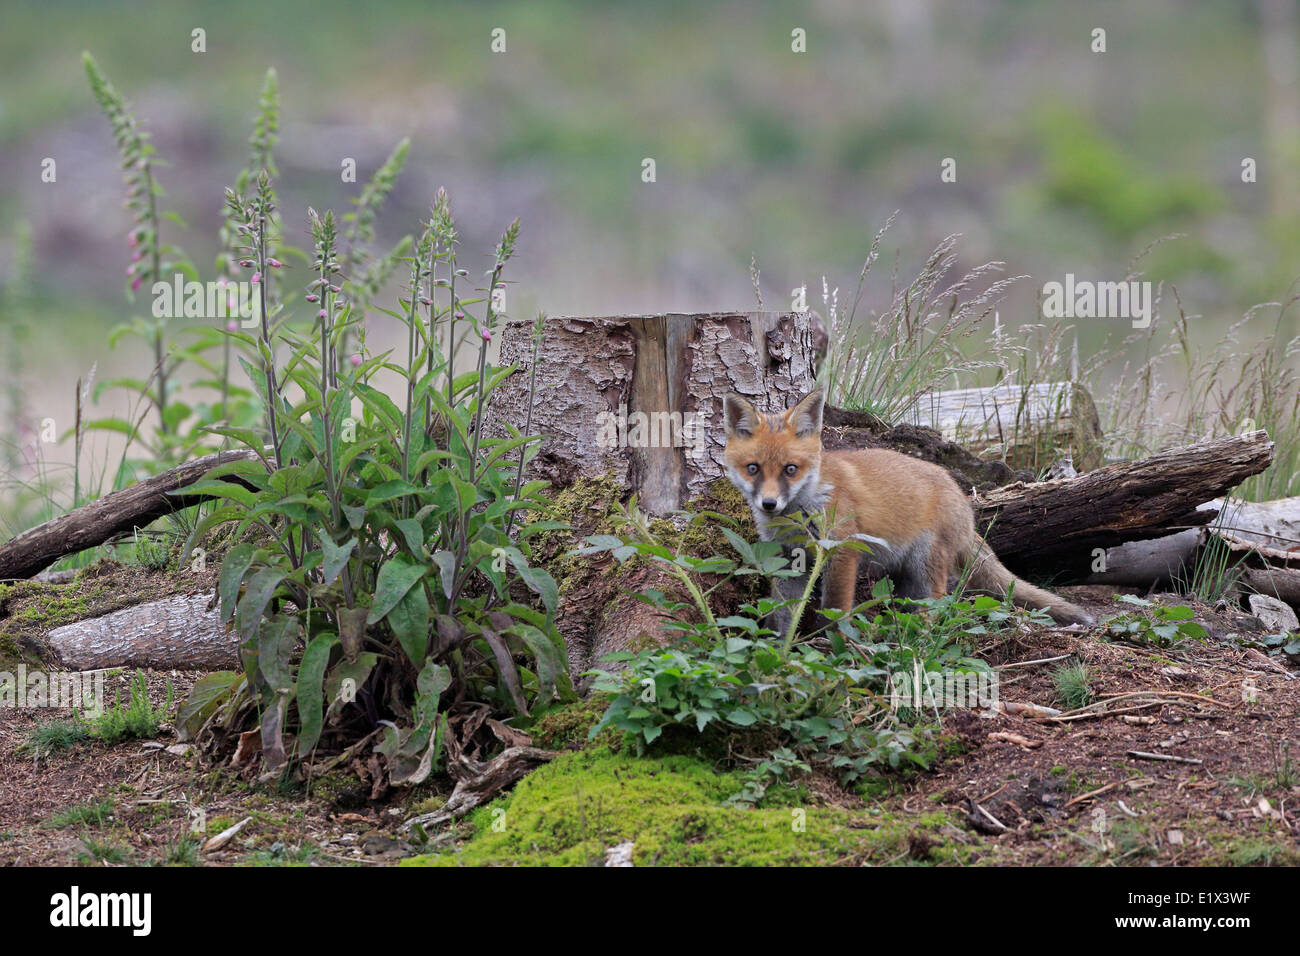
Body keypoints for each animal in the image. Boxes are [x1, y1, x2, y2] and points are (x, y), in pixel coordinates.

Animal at [722, 388, 1093, 631]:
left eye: (790, 469)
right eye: (753, 468)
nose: (769, 503)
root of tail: (963, 500)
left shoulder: (841, 550)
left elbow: (835, 609)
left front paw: (833, 646)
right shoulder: (788, 558)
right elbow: (783, 613)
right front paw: (779, 646)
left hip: (926, 566)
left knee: (938, 607)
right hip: (905, 577)